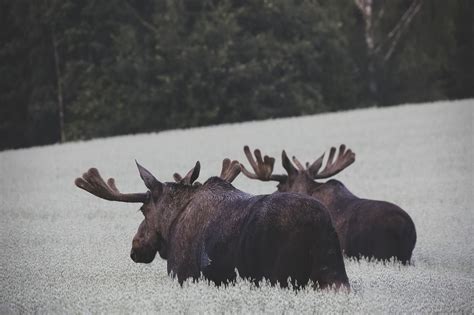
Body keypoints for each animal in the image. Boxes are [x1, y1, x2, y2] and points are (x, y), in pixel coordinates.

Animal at [74, 159, 348, 290]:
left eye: (143, 209)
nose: (136, 247)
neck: (172, 225)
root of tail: (321, 228)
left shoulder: (182, 274)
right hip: (334, 277)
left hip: (282, 276)